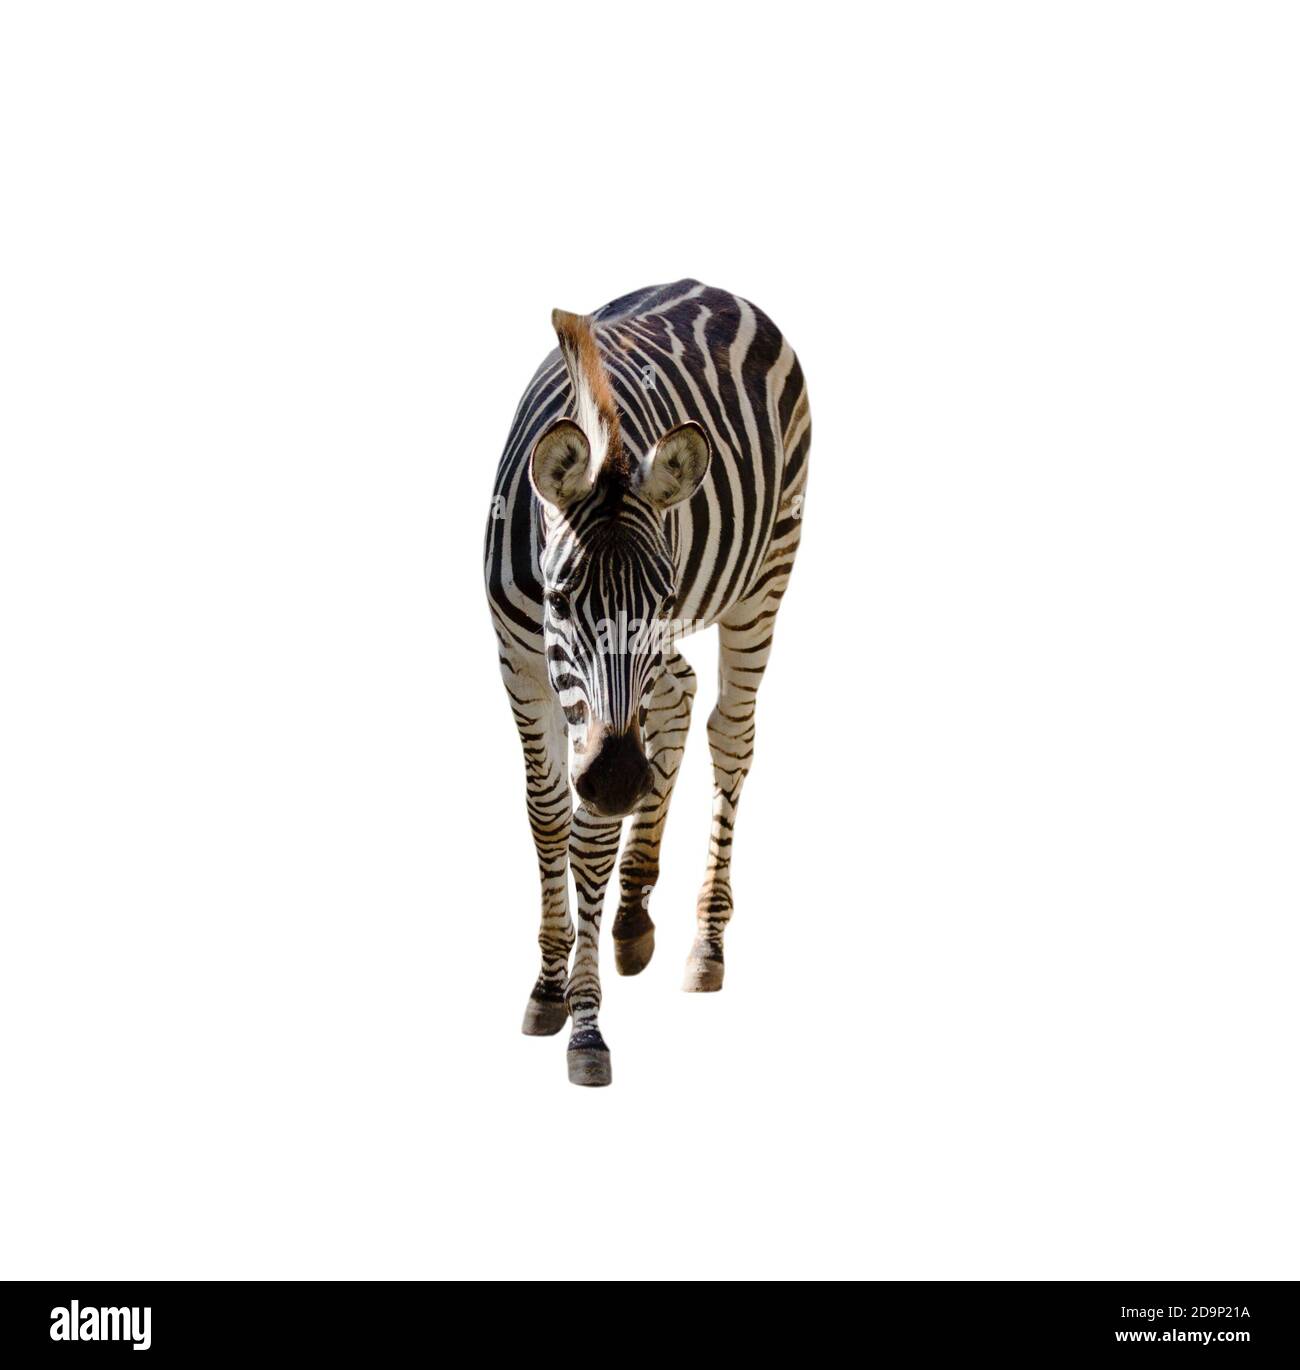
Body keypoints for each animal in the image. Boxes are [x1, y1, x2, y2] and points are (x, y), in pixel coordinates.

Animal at [483, 279, 810, 1086]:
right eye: (562, 597)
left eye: (658, 597)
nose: (619, 777)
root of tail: (719, 288)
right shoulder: (518, 663)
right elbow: (547, 817)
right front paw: (549, 987)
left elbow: (588, 839)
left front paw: (586, 1024)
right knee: (680, 695)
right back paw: (633, 911)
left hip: (767, 575)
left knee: (729, 734)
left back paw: (705, 942)